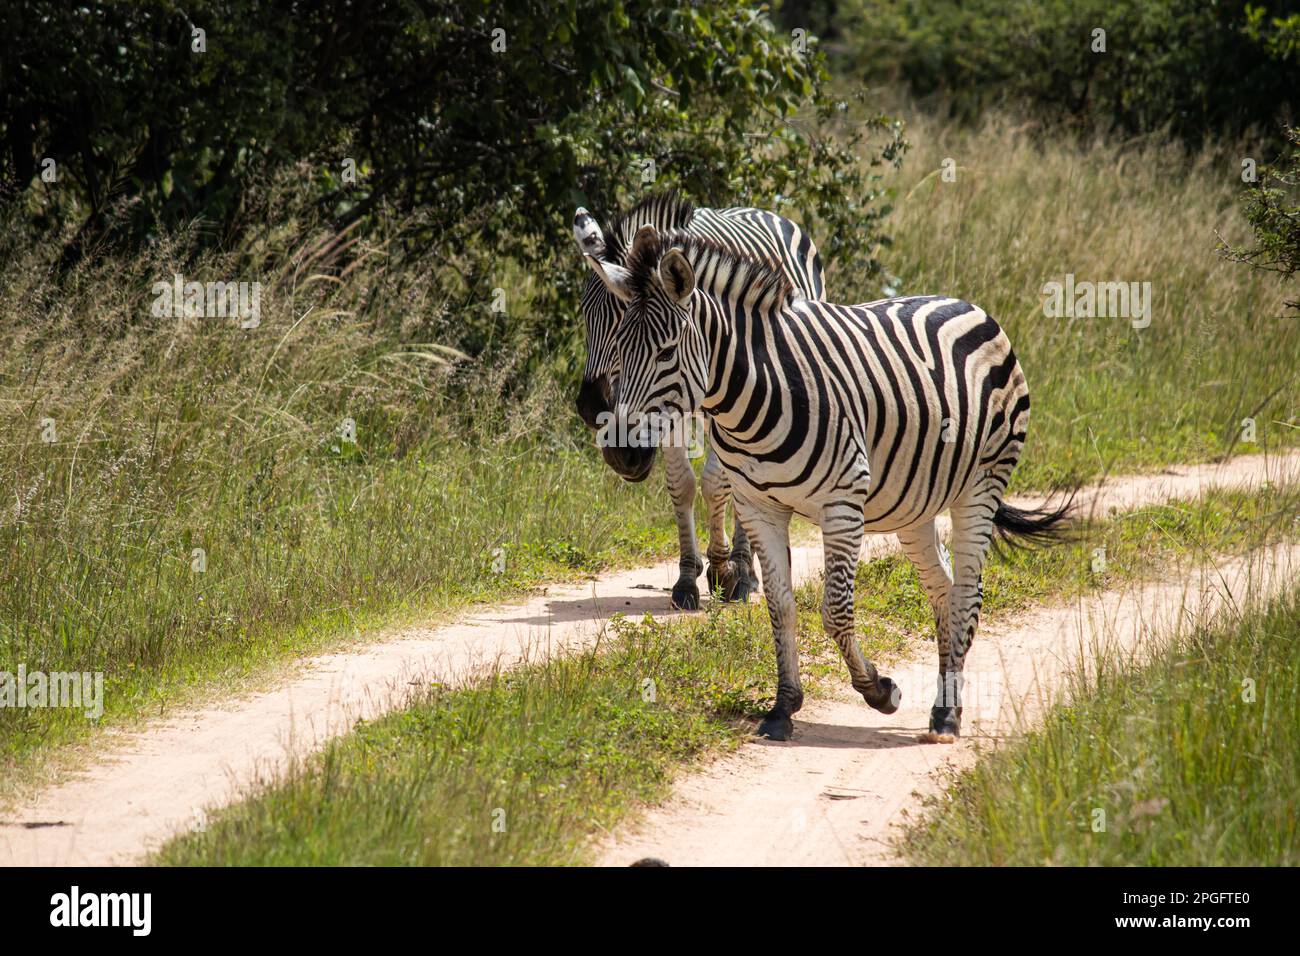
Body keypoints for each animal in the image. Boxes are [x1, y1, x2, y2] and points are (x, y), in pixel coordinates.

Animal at [571, 193, 825, 611]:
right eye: (584, 315)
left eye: (621, 314)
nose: (590, 405)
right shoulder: (672, 411)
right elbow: (682, 485)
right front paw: (688, 577)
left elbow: (716, 486)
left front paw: (724, 570)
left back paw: (746, 570)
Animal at [583, 226, 1071, 742]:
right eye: (618, 350)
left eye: (666, 352)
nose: (620, 452)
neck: (754, 395)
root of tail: (969, 306)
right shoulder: (758, 506)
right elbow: (780, 606)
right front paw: (783, 707)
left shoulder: (842, 504)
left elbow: (835, 611)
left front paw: (879, 690)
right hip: (913, 502)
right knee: (943, 587)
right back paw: (943, 699)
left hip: (982, 483)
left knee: (968, 592)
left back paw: (946, 716)